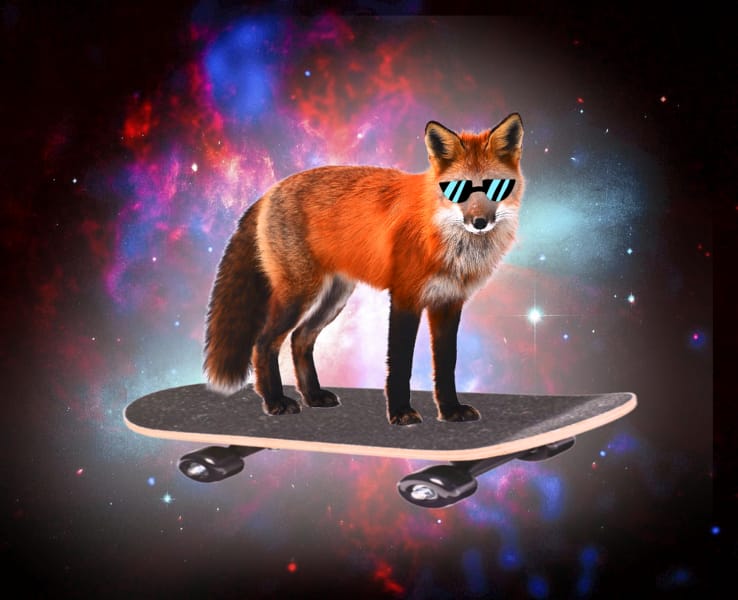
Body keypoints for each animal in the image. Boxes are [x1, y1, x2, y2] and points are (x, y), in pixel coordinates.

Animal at [203, 113, 524, 425]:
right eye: (459, 190)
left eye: (495, 187)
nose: (479, 222)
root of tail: (269, 191)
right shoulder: (405, 297)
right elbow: (400, 362)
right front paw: (401, 413)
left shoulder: (448, 302)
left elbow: (446, 365)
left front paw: (450, 410)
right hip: (299, 295)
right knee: (263, 343)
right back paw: (275, 402)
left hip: (334, 298)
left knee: (300, 338)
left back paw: (313, 396)